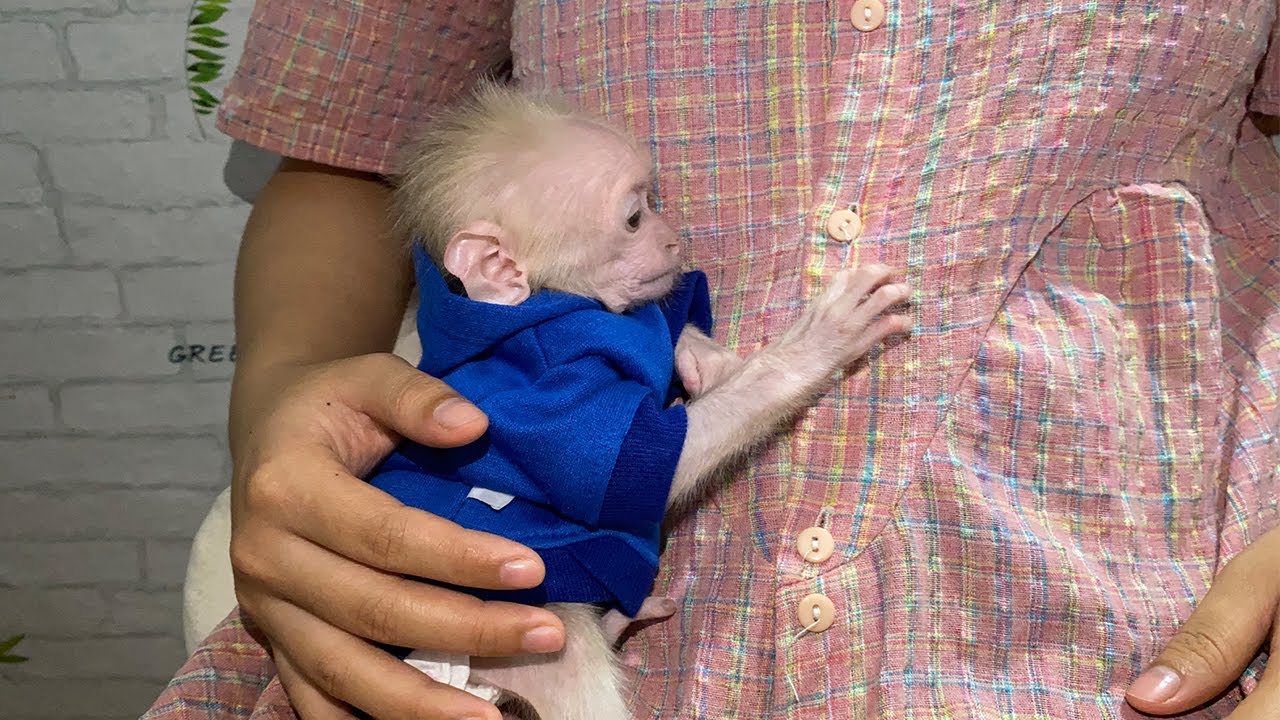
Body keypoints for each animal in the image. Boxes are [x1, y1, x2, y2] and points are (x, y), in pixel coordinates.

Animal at [369, 82, 914, 720]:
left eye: (651, 205)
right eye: (633, 218)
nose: (674, 237)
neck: (542, 305)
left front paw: (701, 355)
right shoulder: (549, 382)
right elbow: (645, 465)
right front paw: (814, 345)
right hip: (501, 620)